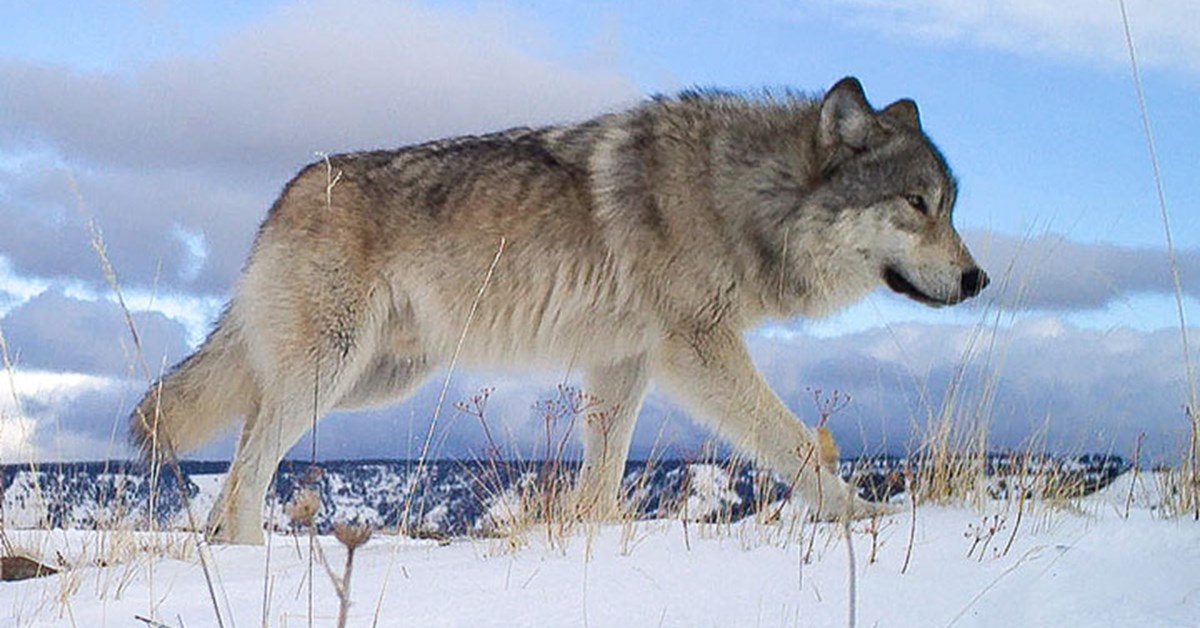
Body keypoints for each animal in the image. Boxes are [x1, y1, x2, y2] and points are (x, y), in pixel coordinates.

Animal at [132, 77, 987, 544]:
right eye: (918, 204)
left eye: (950, 205)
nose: (978, 278)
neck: (743, 192)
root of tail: (286, 191)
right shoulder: (697, 349)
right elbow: (799, 443)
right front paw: (862, 516)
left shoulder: (626, 364)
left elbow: (603, 479)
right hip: (331, 372)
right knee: (249, 466)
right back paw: (248, 560)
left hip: (366, 380)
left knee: (240, 443)